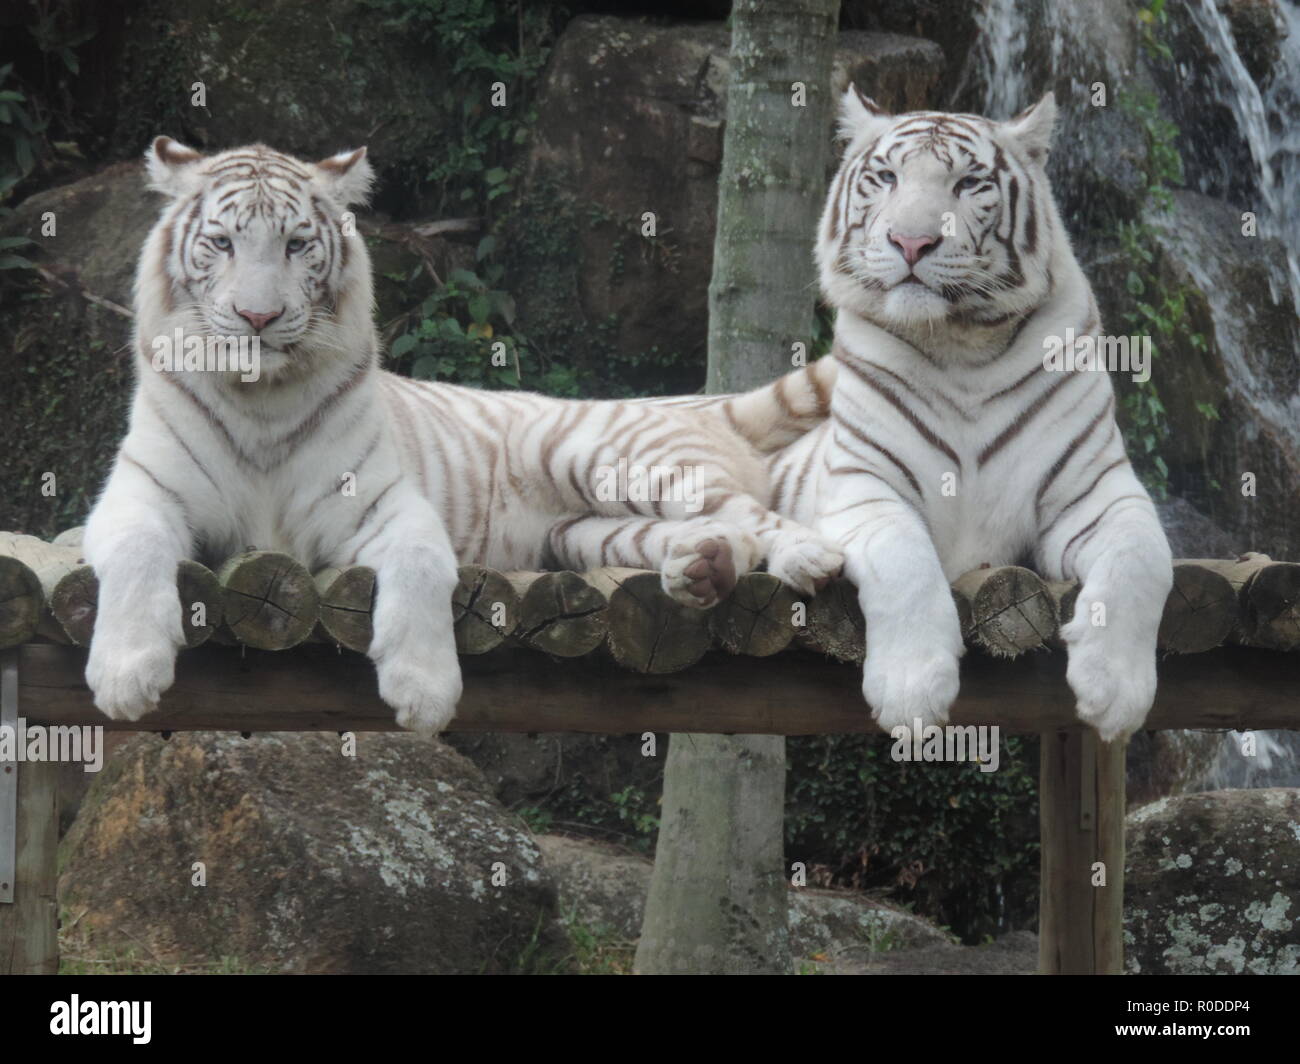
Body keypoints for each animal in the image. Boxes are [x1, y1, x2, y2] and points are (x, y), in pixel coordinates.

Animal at [82, 136, 844, 735]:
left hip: (606, 458)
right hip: (583, 533)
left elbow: (422, 565)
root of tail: (697, 409)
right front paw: (126, 677)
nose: (258, 317)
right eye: (222, 243)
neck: (260, 400)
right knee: (716, 530)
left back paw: (808, 556)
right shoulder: (139, 494)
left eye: (297, 245)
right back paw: (701, 568)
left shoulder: (386, 503)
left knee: (748, 513)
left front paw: (423, 692)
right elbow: (138, 550)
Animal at [769, 87, 1174, 743]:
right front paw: (911, 693)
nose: (911, 243)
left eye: (967, 183)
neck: (961, 347)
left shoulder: (1095, 490)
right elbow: (904, 559)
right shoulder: (864, 485)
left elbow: (1143, 558)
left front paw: (1116, 691)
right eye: (887, 177)